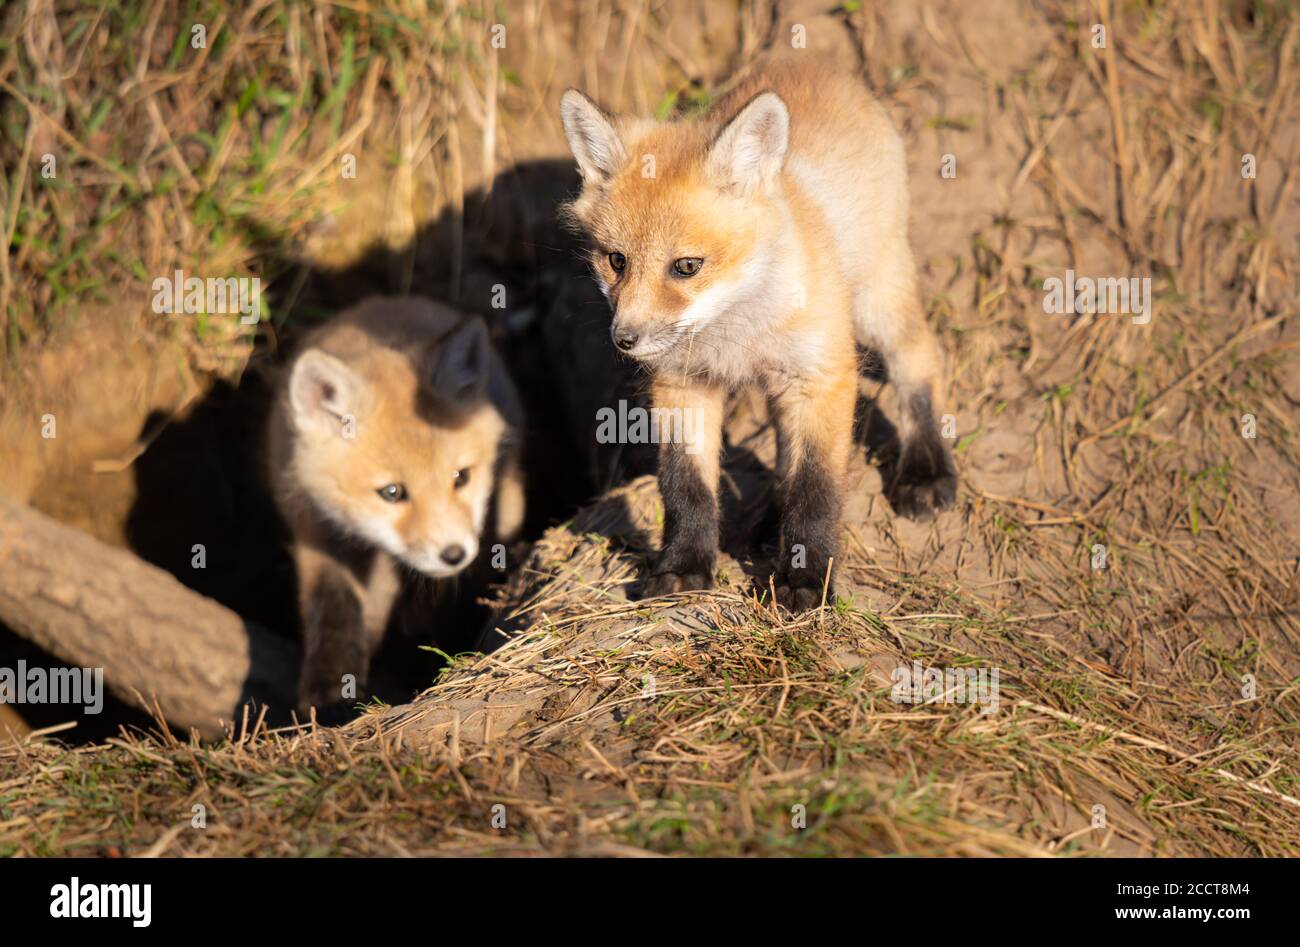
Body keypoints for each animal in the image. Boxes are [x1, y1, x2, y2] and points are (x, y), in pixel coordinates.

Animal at [268, 297, 525, 718]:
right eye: (391, 492)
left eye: (461, 477)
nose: (453, 554)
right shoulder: (312, 526)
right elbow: (332, 605)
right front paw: (330, 693)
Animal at [559, 61, 956, 611]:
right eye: (616, 260)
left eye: (686, 267)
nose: (625, 339)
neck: (735, 334)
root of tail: (819, 65)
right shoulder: (682, 383)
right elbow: (685, 486)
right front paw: (684, 567)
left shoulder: (821, 375)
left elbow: (816, 489)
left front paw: (805, 579)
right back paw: (769, 524)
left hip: (879, 299)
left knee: (921, 360)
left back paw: (927, 470)